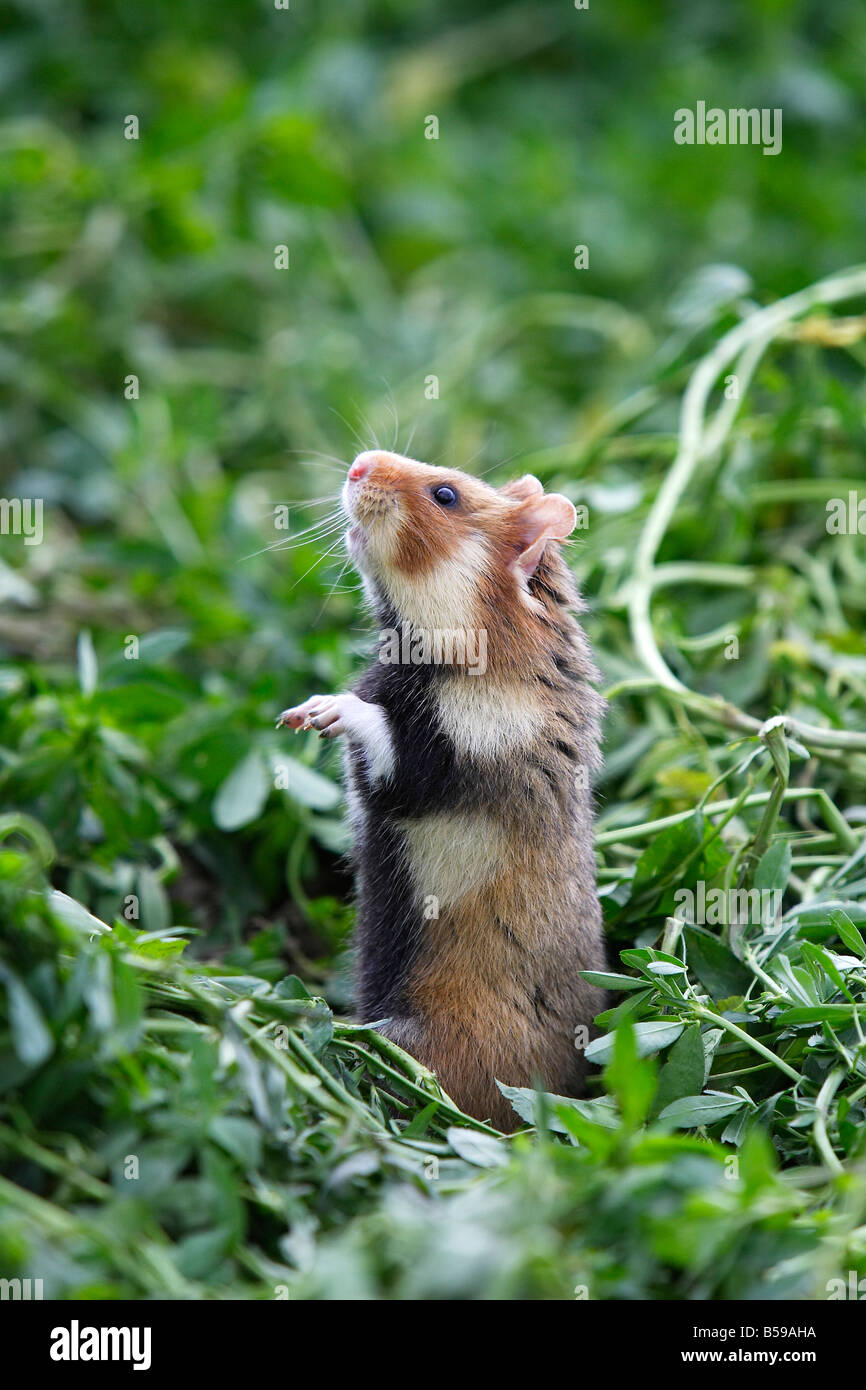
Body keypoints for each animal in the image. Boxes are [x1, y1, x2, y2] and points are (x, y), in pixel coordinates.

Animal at [278, 449, 607, 1132]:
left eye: (446, 495)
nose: (358, 465)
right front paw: (300, 711)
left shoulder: (443, 763)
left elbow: (377, 732)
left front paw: (322, 709)